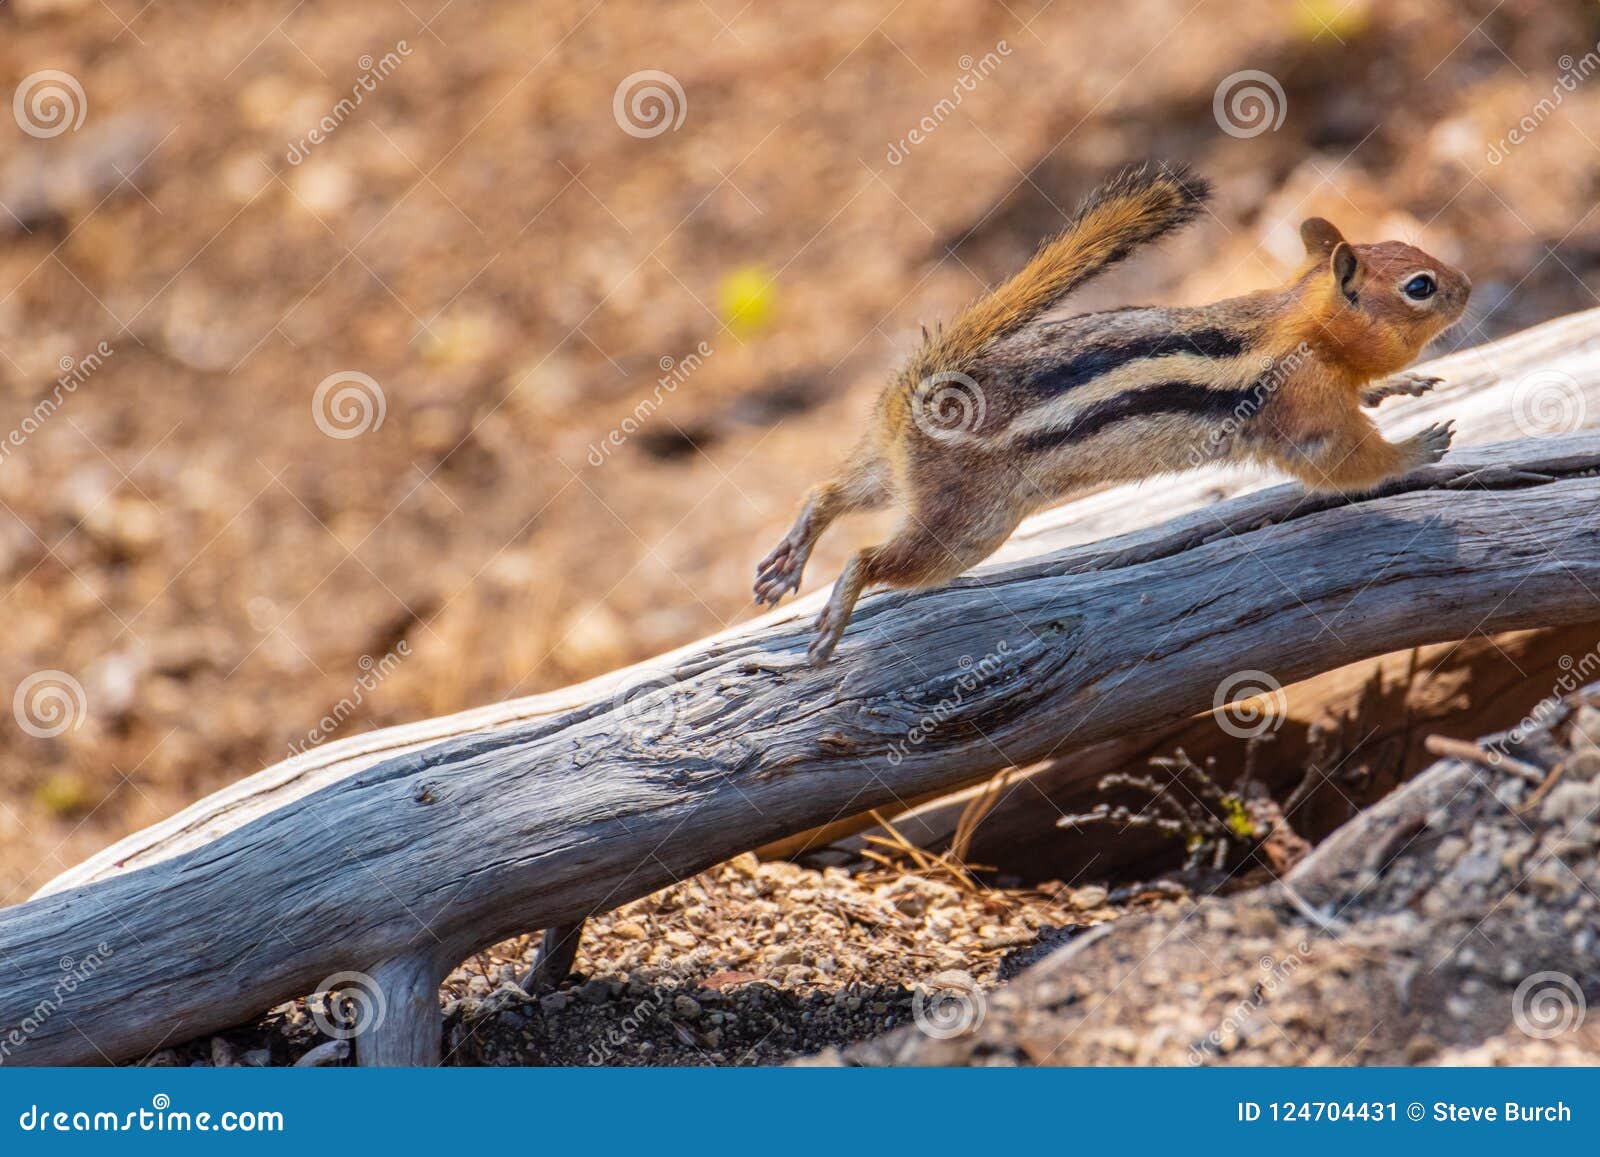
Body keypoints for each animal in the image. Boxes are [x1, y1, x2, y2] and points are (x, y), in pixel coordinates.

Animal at [754, 162, 1471, 666]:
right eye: (1420, 287)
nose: (1465, 286)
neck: (1303, 322)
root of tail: (925, 388)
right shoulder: (1306, 410)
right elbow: (1343, 462)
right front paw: (1421, 445)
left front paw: (1402, 385)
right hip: (968, 526)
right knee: (871, 556)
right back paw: (836, 608)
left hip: (892, 465)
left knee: (830, 489)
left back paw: (788, 556)